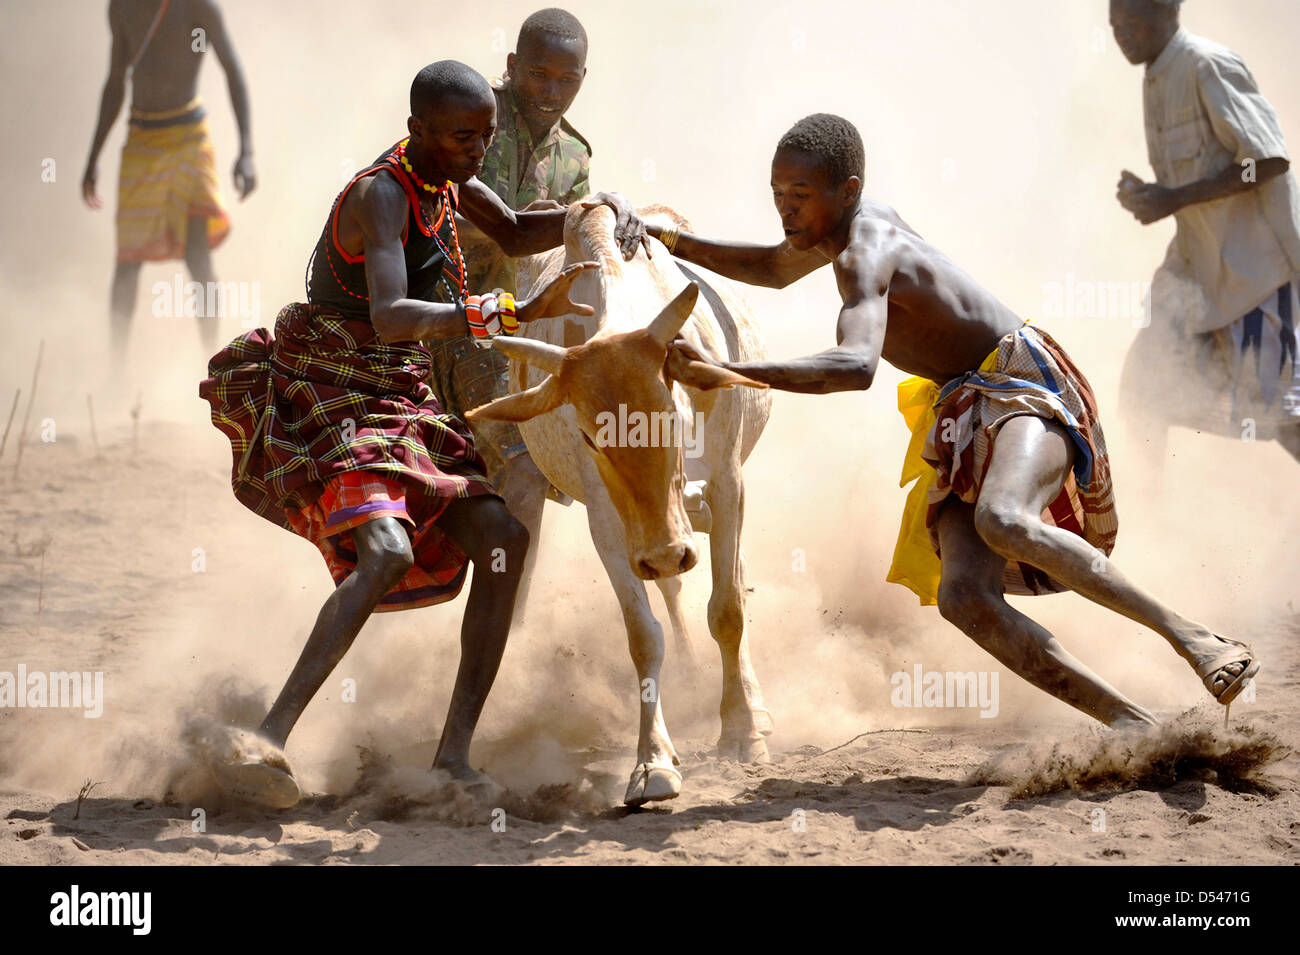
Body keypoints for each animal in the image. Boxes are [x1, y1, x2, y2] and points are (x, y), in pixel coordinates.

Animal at [468, 202, 775, 806]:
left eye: (669, 412)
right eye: (590, 436)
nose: (663, 552)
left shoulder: (728, 486)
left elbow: (728, 610)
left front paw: (742, 733)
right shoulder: (610, 526)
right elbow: (643, 635)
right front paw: (652, 762)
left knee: (731, 581)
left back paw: (752, 702)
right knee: (675, 590)